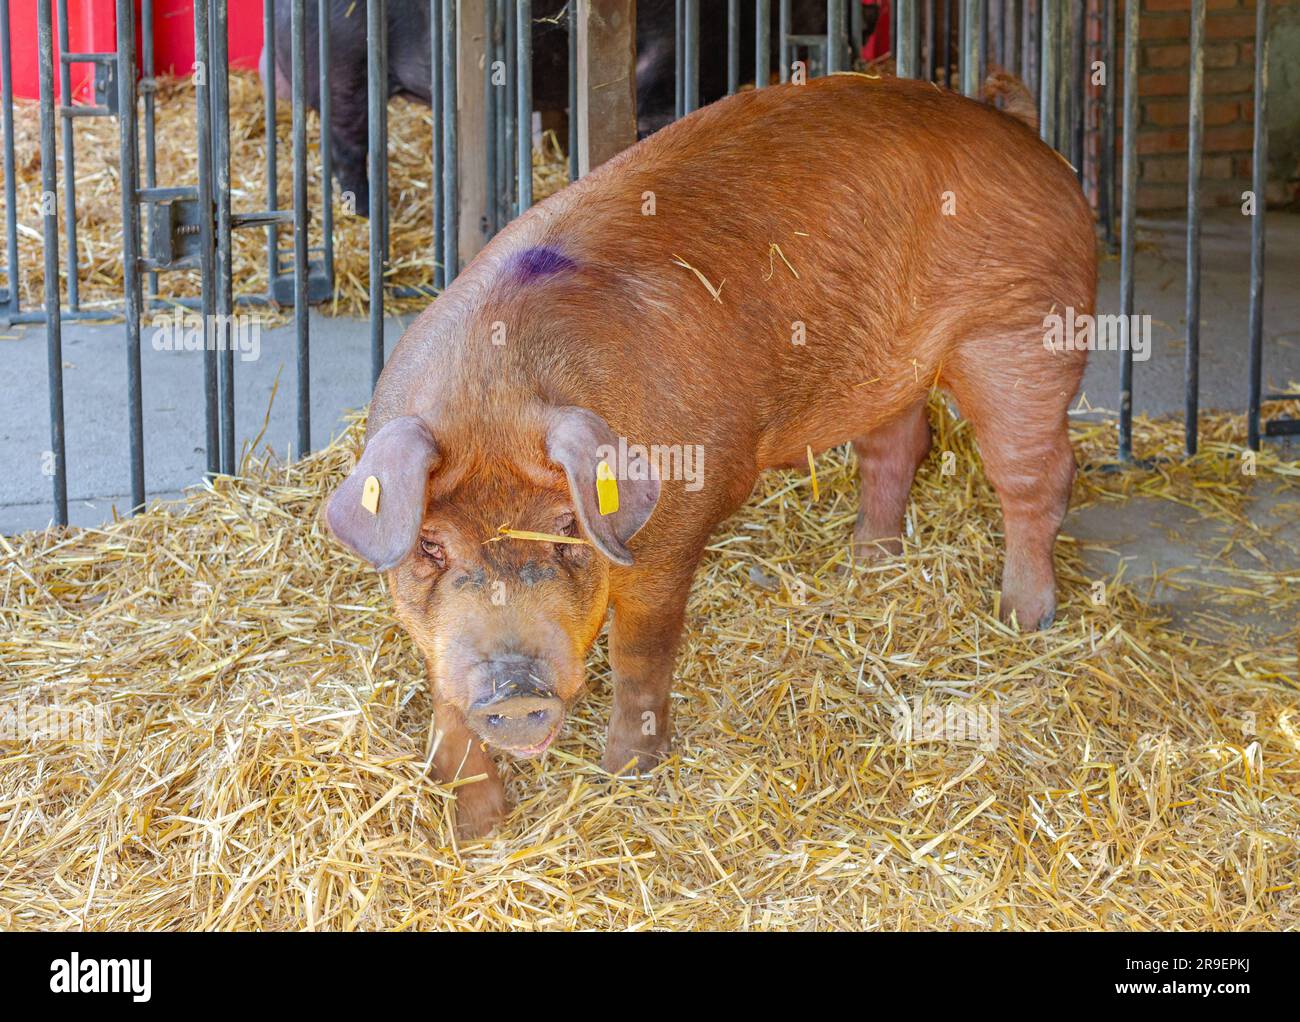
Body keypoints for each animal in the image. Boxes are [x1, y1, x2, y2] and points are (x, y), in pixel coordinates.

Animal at [325, 73, 1095, 838]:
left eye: (570, 528)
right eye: (430, 543)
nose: (515, 693)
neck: (494, 390)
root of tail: (1020, 130)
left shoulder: (671, 532)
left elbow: (641, 657)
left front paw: (626, 775)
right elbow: (443, 685)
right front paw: (480, 826)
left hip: (1022, 331)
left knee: (1037, 476)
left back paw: (1022, 617)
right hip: (889, 371)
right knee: (900, 442)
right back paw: (869, 561)